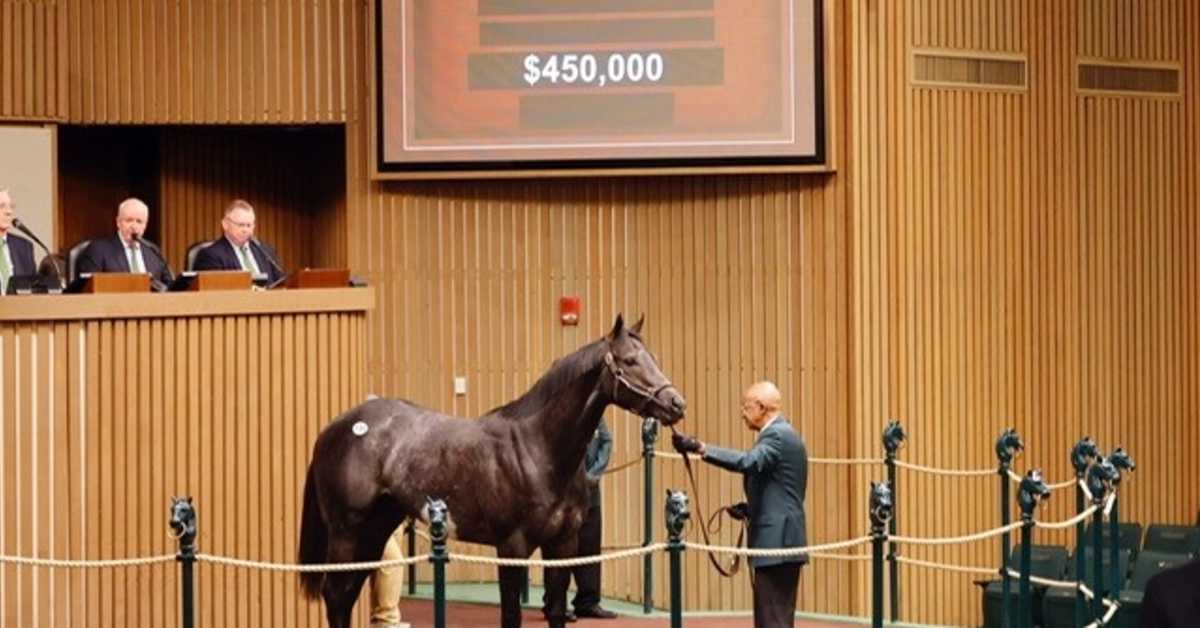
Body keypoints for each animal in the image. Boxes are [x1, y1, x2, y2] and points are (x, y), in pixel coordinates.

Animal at [297, 314, 687, 628]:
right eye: (629, 361)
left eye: (652, 359)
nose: (676, 404)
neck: (537, 447)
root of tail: (334, 428)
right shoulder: (511, 546)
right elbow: (511, 616)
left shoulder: (563, 545)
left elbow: (556, 612)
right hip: (346, 531)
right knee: (336, 595)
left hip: (374, 529)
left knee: (346, 594)